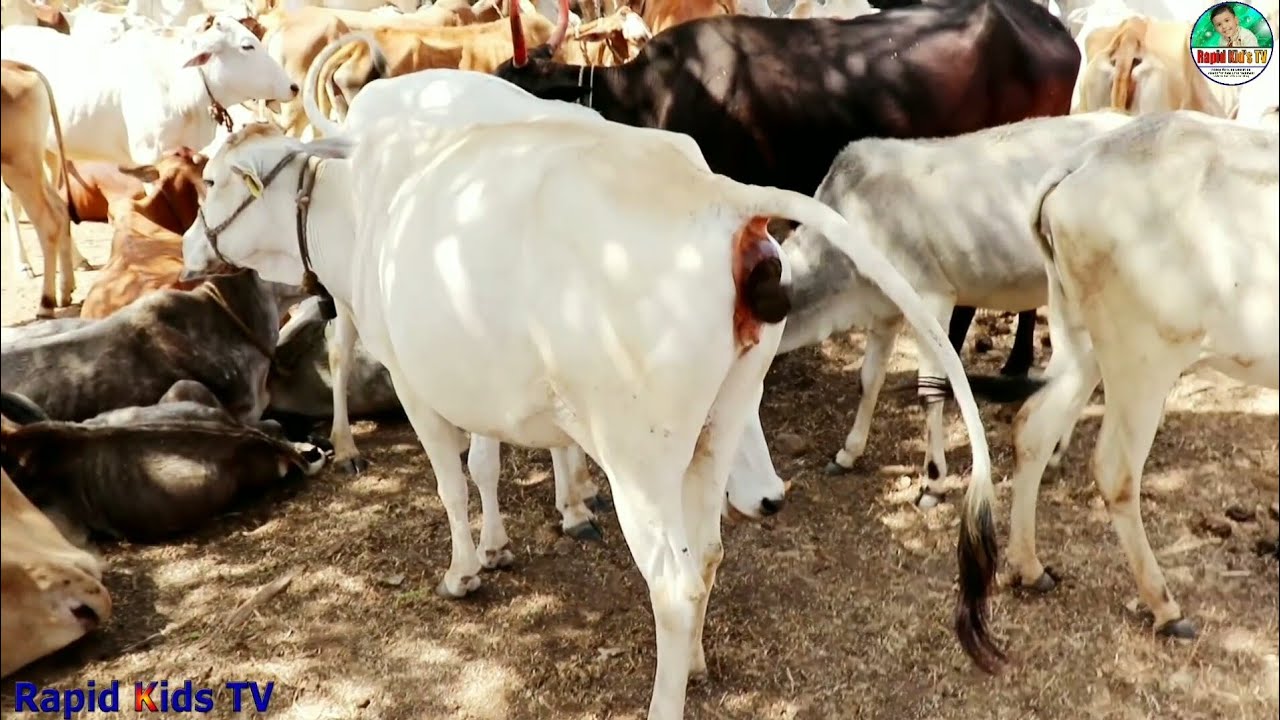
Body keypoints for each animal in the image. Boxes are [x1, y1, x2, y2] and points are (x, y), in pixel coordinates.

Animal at [0, 60, 76, 319]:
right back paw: (65, 290)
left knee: (48, 223)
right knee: (61, 209)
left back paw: (46, 303)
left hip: (20, 168)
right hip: (31, 168)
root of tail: (17, 66)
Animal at [179, 117, 1005, 716]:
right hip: (716, 424)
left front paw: (464, 569)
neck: (366, 201)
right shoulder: (484, 383)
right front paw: (500, 543)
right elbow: (486, 461)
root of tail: (715, 198)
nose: (187, 247)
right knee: (706, 553)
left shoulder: (418, 387)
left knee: (672, 584)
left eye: (212, 180)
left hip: (638, 453)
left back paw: (665, 699)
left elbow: (450, 480)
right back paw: (695, 663)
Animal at [767, 111, 1135, 504]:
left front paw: (932, 482)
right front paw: (848, 453)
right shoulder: (883, 310)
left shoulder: (932, 298)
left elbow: (930, 390)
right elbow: (868, 379)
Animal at [1004, 111, 1277, 638]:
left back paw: (1029, 567)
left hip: (1081, 342)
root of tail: (1085, 160)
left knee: (1033, 427)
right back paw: (1165, 606)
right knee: (1115, 469)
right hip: (1143, 358)